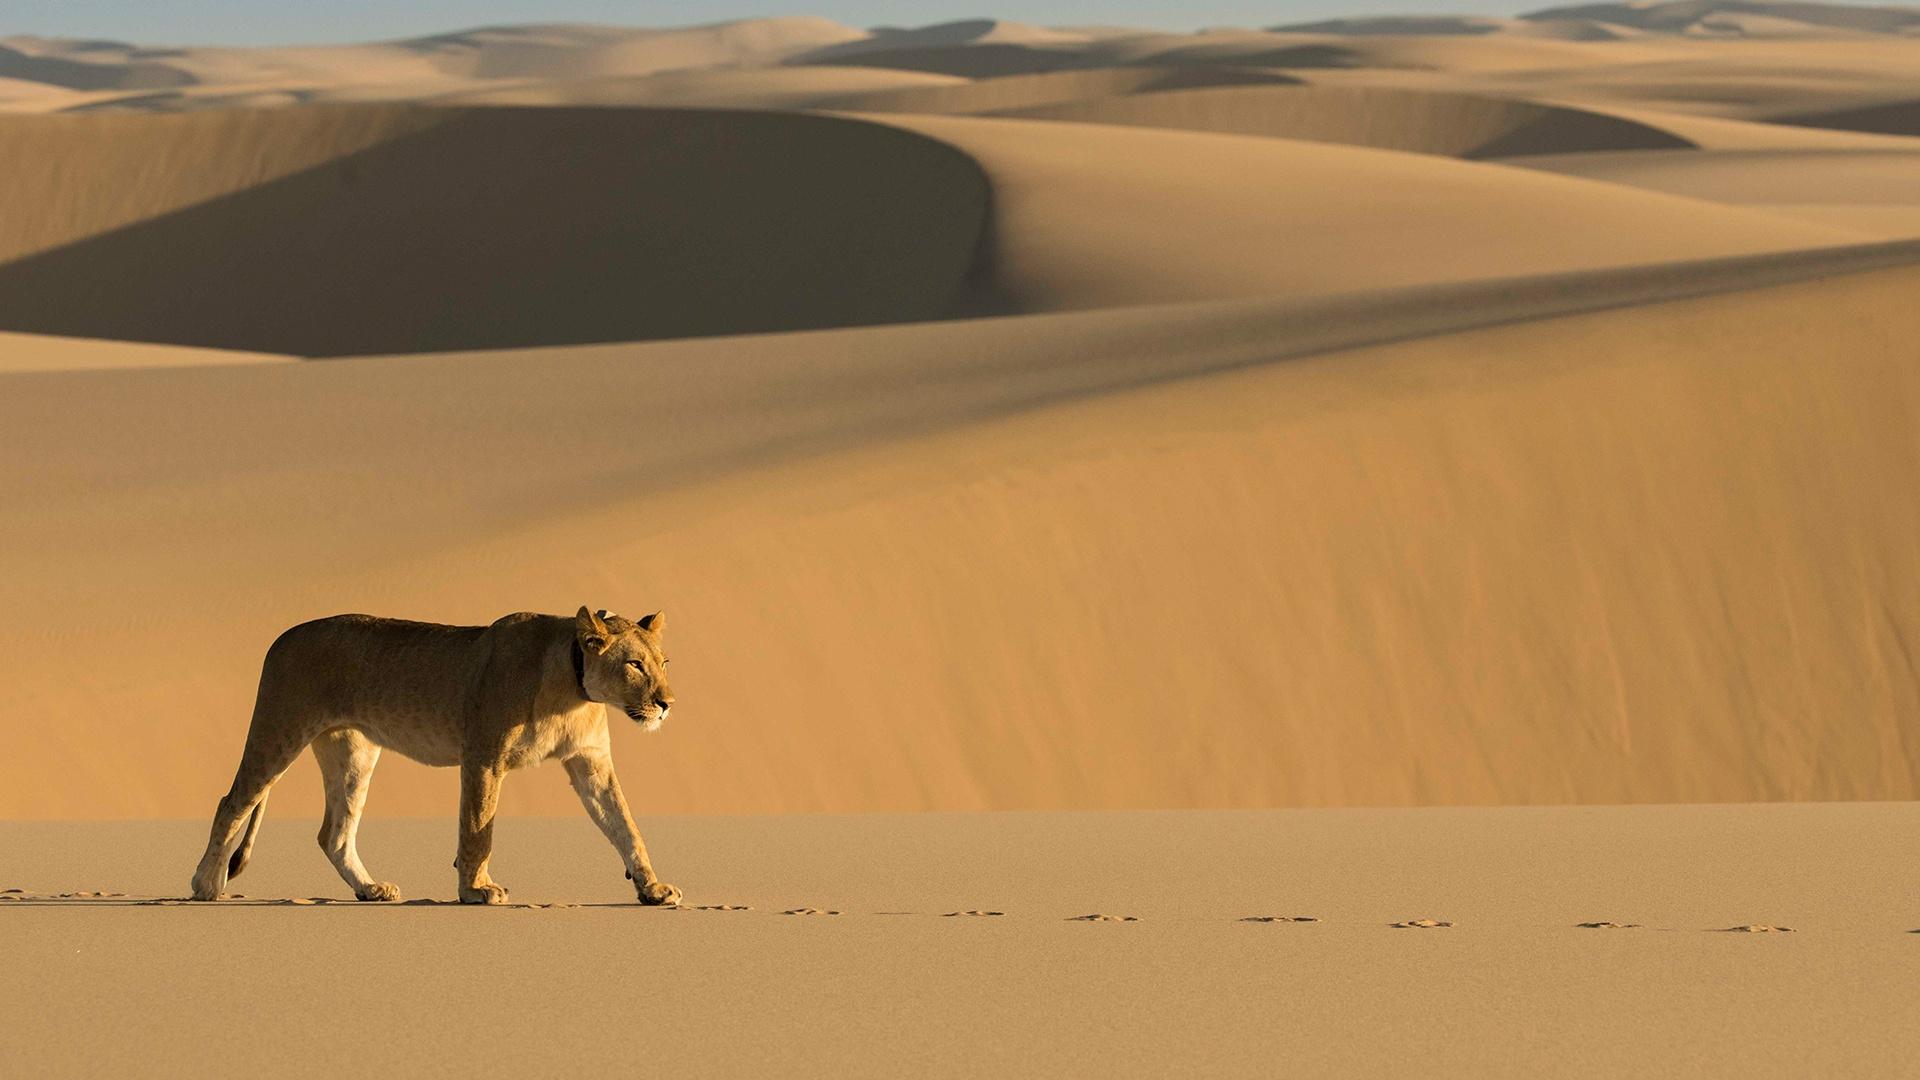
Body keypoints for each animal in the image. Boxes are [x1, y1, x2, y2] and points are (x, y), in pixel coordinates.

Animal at [190, 606, 681, 906]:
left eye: (663, 663)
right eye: (634, 664)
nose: (666, 704)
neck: (574, 690)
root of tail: (282, 636)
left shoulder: (590, 763)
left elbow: (626, 826)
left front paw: (653, 888)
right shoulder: (483, 756)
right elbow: (478, 828)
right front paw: (476, 890)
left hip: (354, 753)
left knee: (334, 834)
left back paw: (371, 889)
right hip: (279, 729)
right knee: (233, 802)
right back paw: (205, 885)